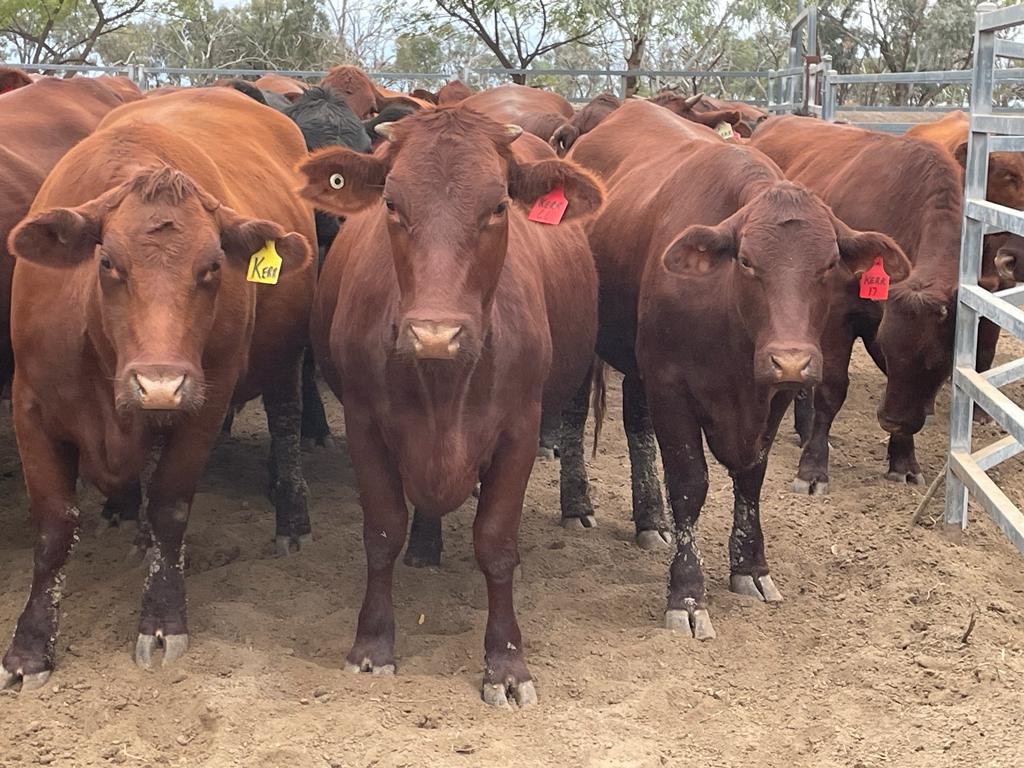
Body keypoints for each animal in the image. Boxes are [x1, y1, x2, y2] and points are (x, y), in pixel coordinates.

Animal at [0, 88, 315, 692]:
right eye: (106, 262)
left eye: (213, 265)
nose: (161, 383)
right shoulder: (30, 406)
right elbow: (54, 526)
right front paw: (29, 647)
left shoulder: (205, 405)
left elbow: (171, 504)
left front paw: (163, 620)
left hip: (285, 360)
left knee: (287, 427)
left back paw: (291, 518)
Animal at [296, 105, 603, 706]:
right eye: (392, 204)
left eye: (498, 206)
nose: (435, 333)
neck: (444, 384)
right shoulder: (364, 425)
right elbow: (382, 533)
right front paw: (373, 645)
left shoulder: (521, 431)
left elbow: (497, 543)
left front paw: (506, 663)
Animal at [563, 99, 908, 637]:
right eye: (746, 261)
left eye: (830, 264)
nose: (791, 359)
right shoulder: (673, 386)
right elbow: (690, 484)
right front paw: (687, 595)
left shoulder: (772, 397)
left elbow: (751, 478)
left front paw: (751, 567)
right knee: (577, 416)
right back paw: (577, 506)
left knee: (637, 427)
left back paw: (651, 520)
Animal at [750, 115, 964, 491]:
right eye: (890, 349)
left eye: (938, 361)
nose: (892, 420)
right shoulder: (838, 314)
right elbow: (831, 390)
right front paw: (812, 469)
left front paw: (904, 459)